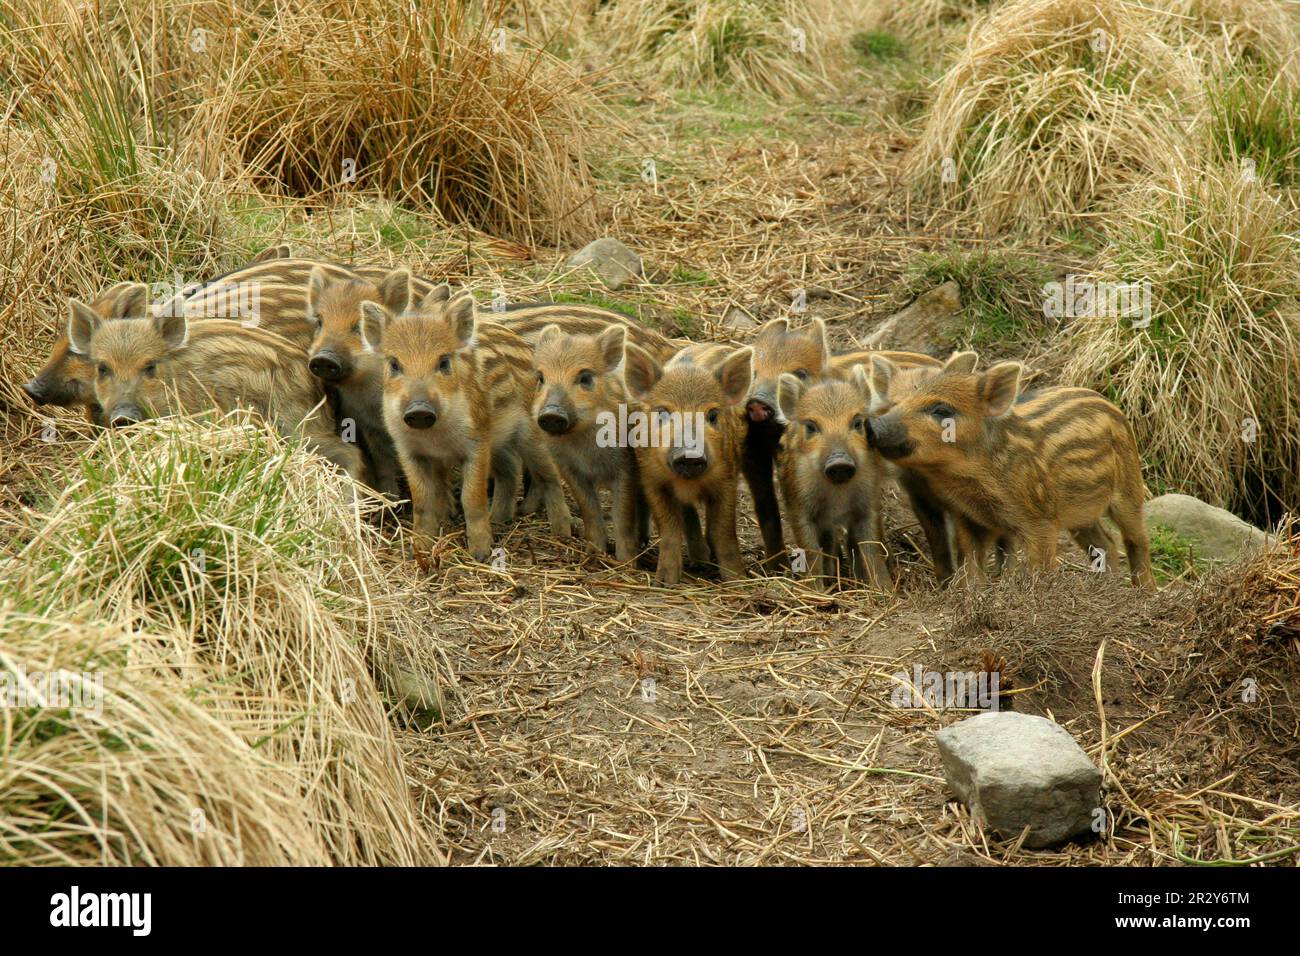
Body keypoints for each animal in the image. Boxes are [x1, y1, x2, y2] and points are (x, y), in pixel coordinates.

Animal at [359, 284, 572, 563]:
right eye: (394, 364)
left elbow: (471, 497)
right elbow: (423, 500)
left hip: (531, 434)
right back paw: (500, 519)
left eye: (443, 362)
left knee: (551, 474)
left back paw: (563, 532)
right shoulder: (409, 449)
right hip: (499, 440)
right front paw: (421, 548)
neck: (434, 436)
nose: (419, 409)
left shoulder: (476, 441)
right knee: (510, 469)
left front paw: (480, 554)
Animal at [623, 342, 752, 586]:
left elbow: (723, 531)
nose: (689, 454)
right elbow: (670, 530)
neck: (688, 483)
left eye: (712, 415)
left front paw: (737, 579)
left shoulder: (727, 480)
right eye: (663, 412)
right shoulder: (653, 481)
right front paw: (665, 583)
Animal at [776, 367, 891, 589]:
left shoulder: (868, 503)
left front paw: (884, 590)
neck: (837, 493)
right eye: (811, 426)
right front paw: (816, 591)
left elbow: (872, 548)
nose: (839, 463)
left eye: (857, 422)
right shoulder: (799, 508)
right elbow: (811, 551)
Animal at [866, 360, 1156, 590]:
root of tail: (1111, 405)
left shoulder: (1040, 520)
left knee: (1137, 540)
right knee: (1105, 544)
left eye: (942, 410)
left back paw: (1146, 593)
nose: (871, 424)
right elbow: (970, 562)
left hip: (1128, 488)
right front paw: (970, 596)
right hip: (1081, 512)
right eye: (898, 402)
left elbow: (1039, 566)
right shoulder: (968, 518)